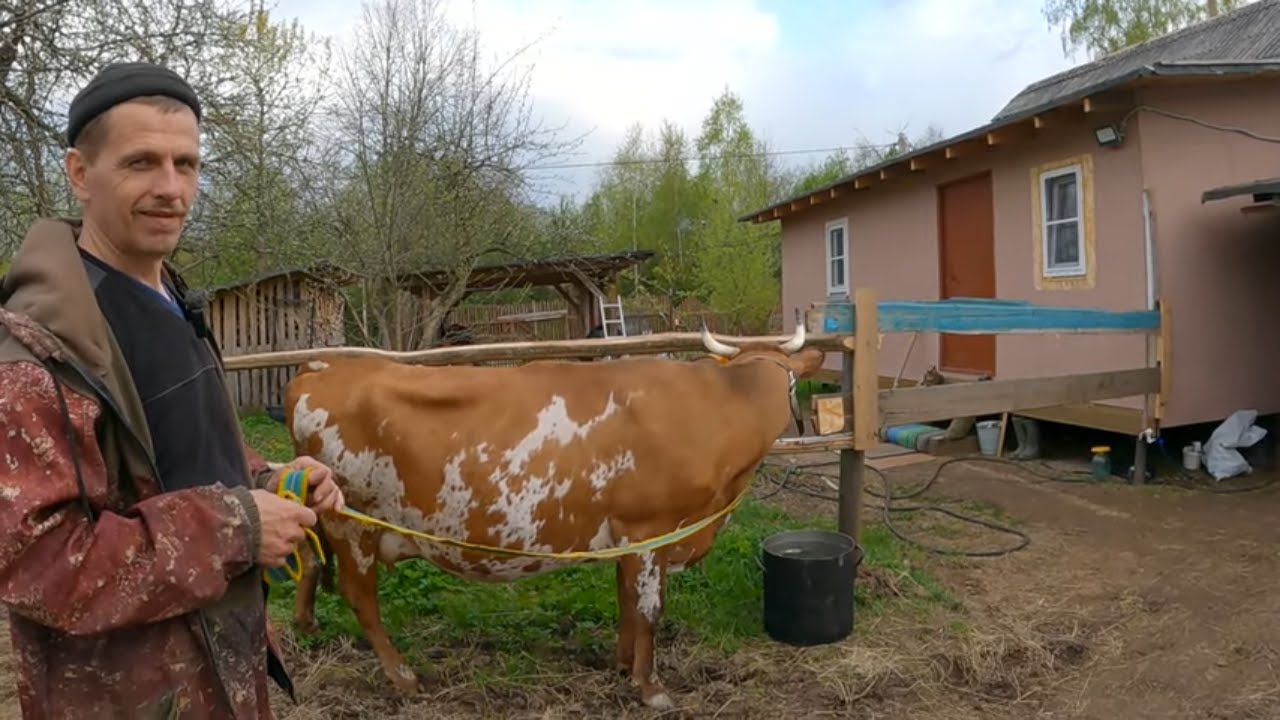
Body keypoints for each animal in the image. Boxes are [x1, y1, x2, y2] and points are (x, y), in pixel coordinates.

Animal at [282, 324, 819, 707]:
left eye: (789, 379)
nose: (785, 418)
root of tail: (322, 367)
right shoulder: (650, 529)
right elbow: (649, 608)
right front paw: (651, 689)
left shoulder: (627, 537)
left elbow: (626, 601)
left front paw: (623, 665)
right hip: (354, 524)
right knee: (361, 599)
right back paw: (404, 676)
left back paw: (308, 623)